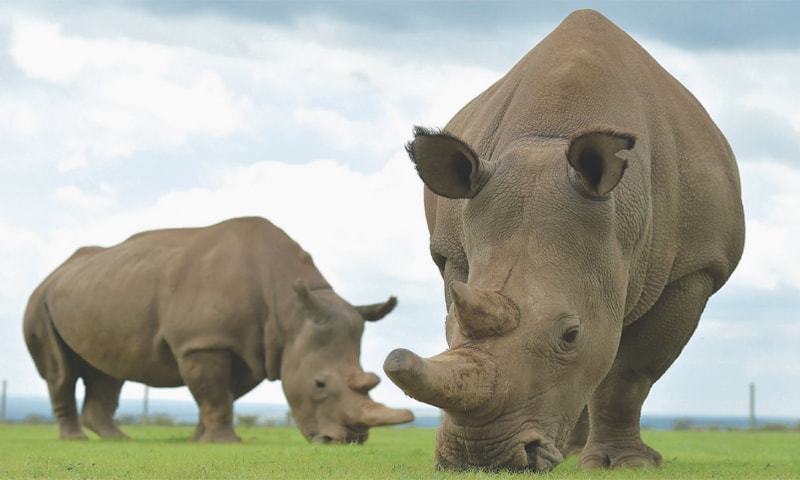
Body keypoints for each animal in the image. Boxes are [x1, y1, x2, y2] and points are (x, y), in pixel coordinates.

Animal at [24, 216, 413, 443]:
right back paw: (75, 440)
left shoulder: (254, 348)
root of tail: (55, 273)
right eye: (319, 384)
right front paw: (224, 443)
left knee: (108, 371)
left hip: (99, 289)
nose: (349, 441)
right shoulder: (203, 343)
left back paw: (117, 440)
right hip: (40, 301)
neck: (289, 312)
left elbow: (221, 395)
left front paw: (200, 440)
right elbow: (214, 394)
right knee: (60, 374)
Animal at [384, 9, 744, 472]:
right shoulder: (455, 256)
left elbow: (629, 372)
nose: (480, 458)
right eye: (446, 327)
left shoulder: (695, 268)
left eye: (570, 335)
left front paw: (628, 464)